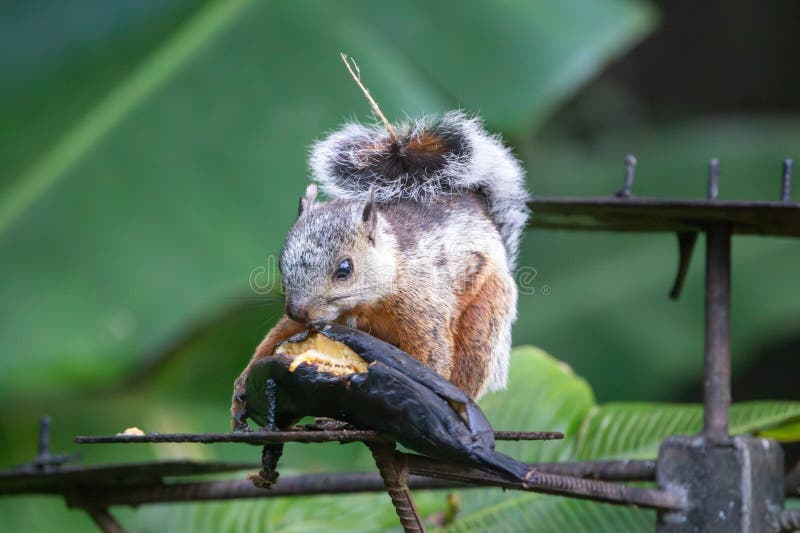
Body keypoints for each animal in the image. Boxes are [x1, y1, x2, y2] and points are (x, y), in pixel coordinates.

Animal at [232, 111, 529, 430]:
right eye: (280, 261)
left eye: (345, 269)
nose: (298, 311)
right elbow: (276, 337)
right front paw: (242, 386)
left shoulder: (424, 308)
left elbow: (429, 357)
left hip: (483, 320)